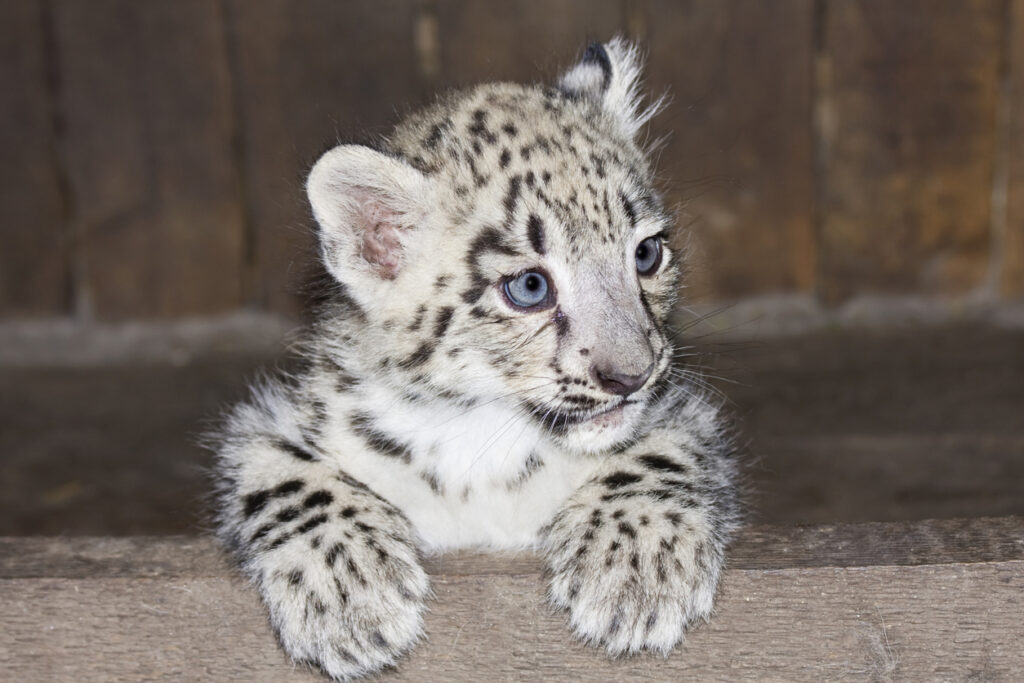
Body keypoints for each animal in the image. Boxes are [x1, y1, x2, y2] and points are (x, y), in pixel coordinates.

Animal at [212, 37, 741, 680]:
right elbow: (287, 476)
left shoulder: (683, 411)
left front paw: (636, 571)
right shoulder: (267, 422)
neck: (482, 448)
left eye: (646, 253)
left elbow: (659, 451)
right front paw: (347, 592)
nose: (632, 375)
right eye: (530, 287)